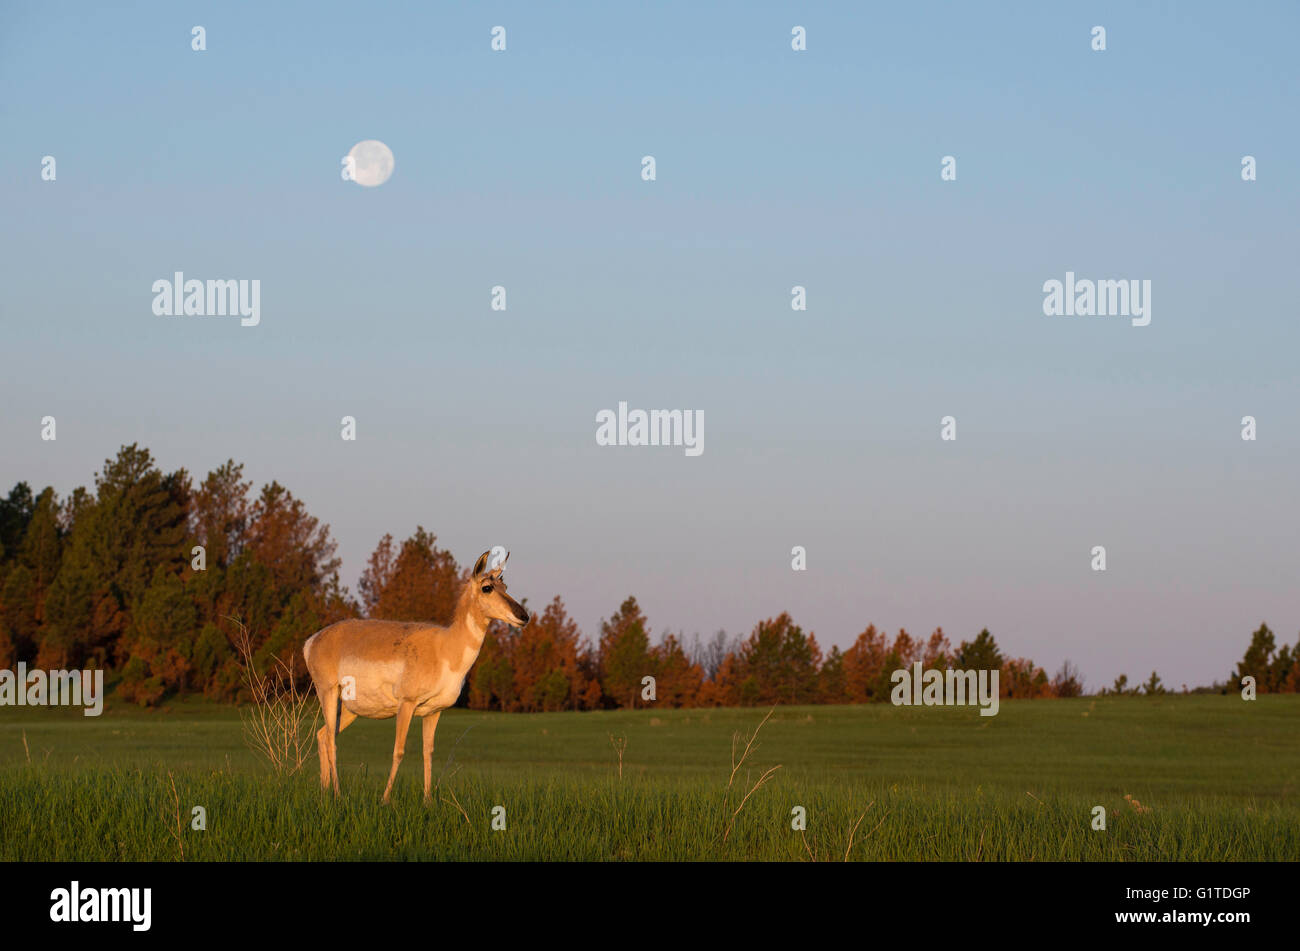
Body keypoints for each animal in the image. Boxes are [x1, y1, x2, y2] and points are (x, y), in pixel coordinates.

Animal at [302, 549, 530, 803]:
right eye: (487, 587)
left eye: (505, 585)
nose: (524, 616)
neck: (444, 648)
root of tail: (313, 641)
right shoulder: (407, 704)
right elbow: (399, 751)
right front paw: (385, 800)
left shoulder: (433, 712)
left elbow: (427, 752)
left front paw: (428, 800)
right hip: (328, 693)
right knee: (331, 741)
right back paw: (338, 794)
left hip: (350, 710)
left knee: (322, 735)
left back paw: (325, 791)